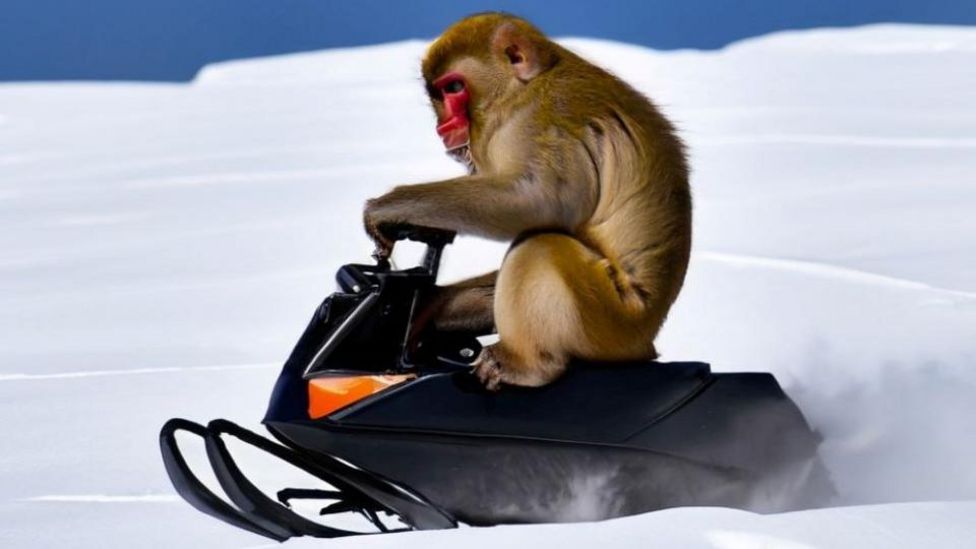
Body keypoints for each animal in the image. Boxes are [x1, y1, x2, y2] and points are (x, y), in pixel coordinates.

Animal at [363, 13, 691, 390]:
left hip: (610, 324)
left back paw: (530, 366)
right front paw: (430, 306)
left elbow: (540, 200)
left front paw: (389, 206)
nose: (444, 124)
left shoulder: (538, 124)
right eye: (439, 93)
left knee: (540, 244)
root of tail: (646, 338)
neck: (521, 89)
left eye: (455, 88)